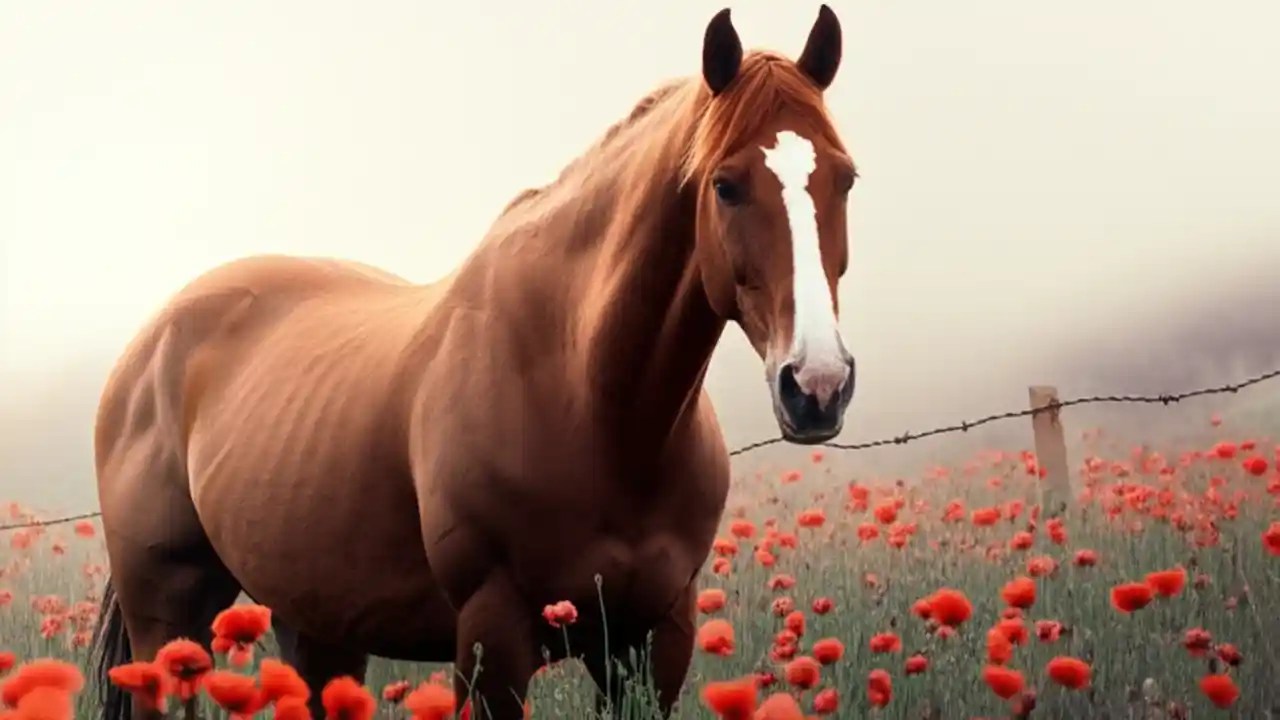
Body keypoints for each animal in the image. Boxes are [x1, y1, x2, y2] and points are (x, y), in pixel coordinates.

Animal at [91, 5, 858, 718]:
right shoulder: (495, 636)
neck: (587, 397)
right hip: (168, 621)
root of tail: (146, 349)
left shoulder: (652, 642)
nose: (817, 385)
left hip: (316, 626)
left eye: (845, 179)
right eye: (725, 185)